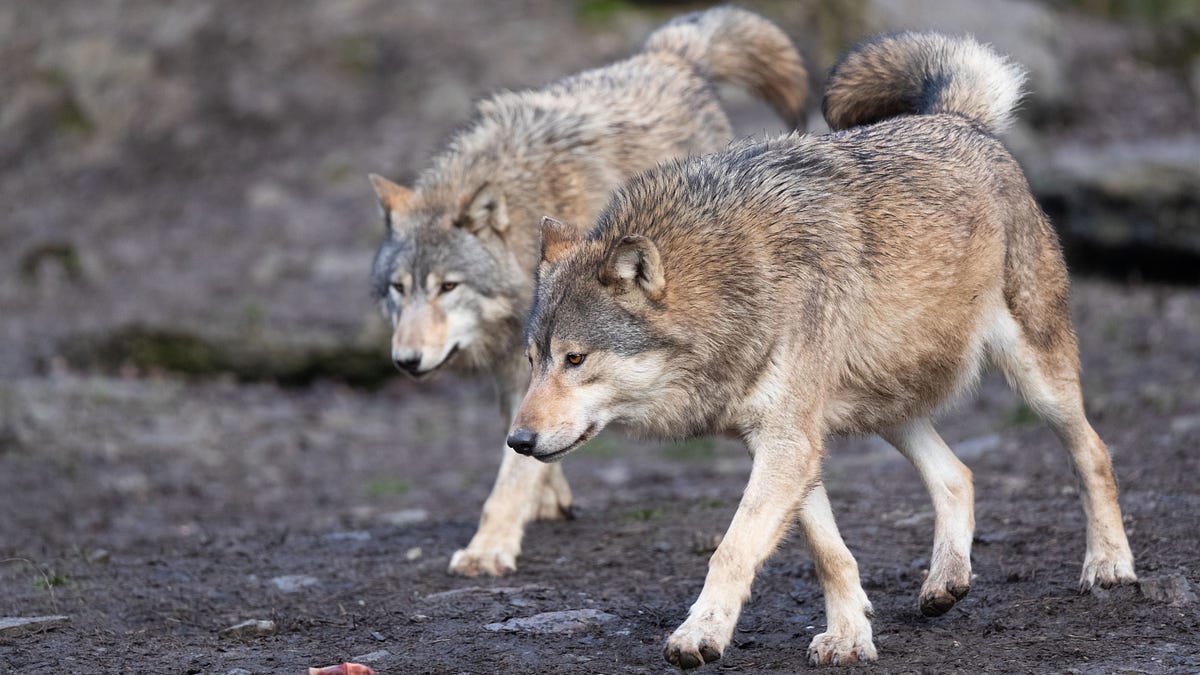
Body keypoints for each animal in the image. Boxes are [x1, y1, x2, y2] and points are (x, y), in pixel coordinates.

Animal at [367, 7, 807, 577]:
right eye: (399, 289)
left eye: (448, 286)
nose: (406, 361)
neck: (530, 203)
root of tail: (666, 55)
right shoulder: (524, 362)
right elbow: (525, 430)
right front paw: (545, 491)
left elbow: (511, 473)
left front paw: (490, 546)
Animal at [510, 32, 1136, 667]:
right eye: (533, 362)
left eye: (576, 359)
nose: (519, 441)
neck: (735, 282)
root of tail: (956, 118)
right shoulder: (785, 443)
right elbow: (827, 552)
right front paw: (849, 636)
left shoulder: (789, 443)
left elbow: (731, 549)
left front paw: (701, 633)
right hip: (887, 407)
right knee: (957, 475)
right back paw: (945, 581)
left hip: (1037, 377)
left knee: (1093, 451)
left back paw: (1110, 564)